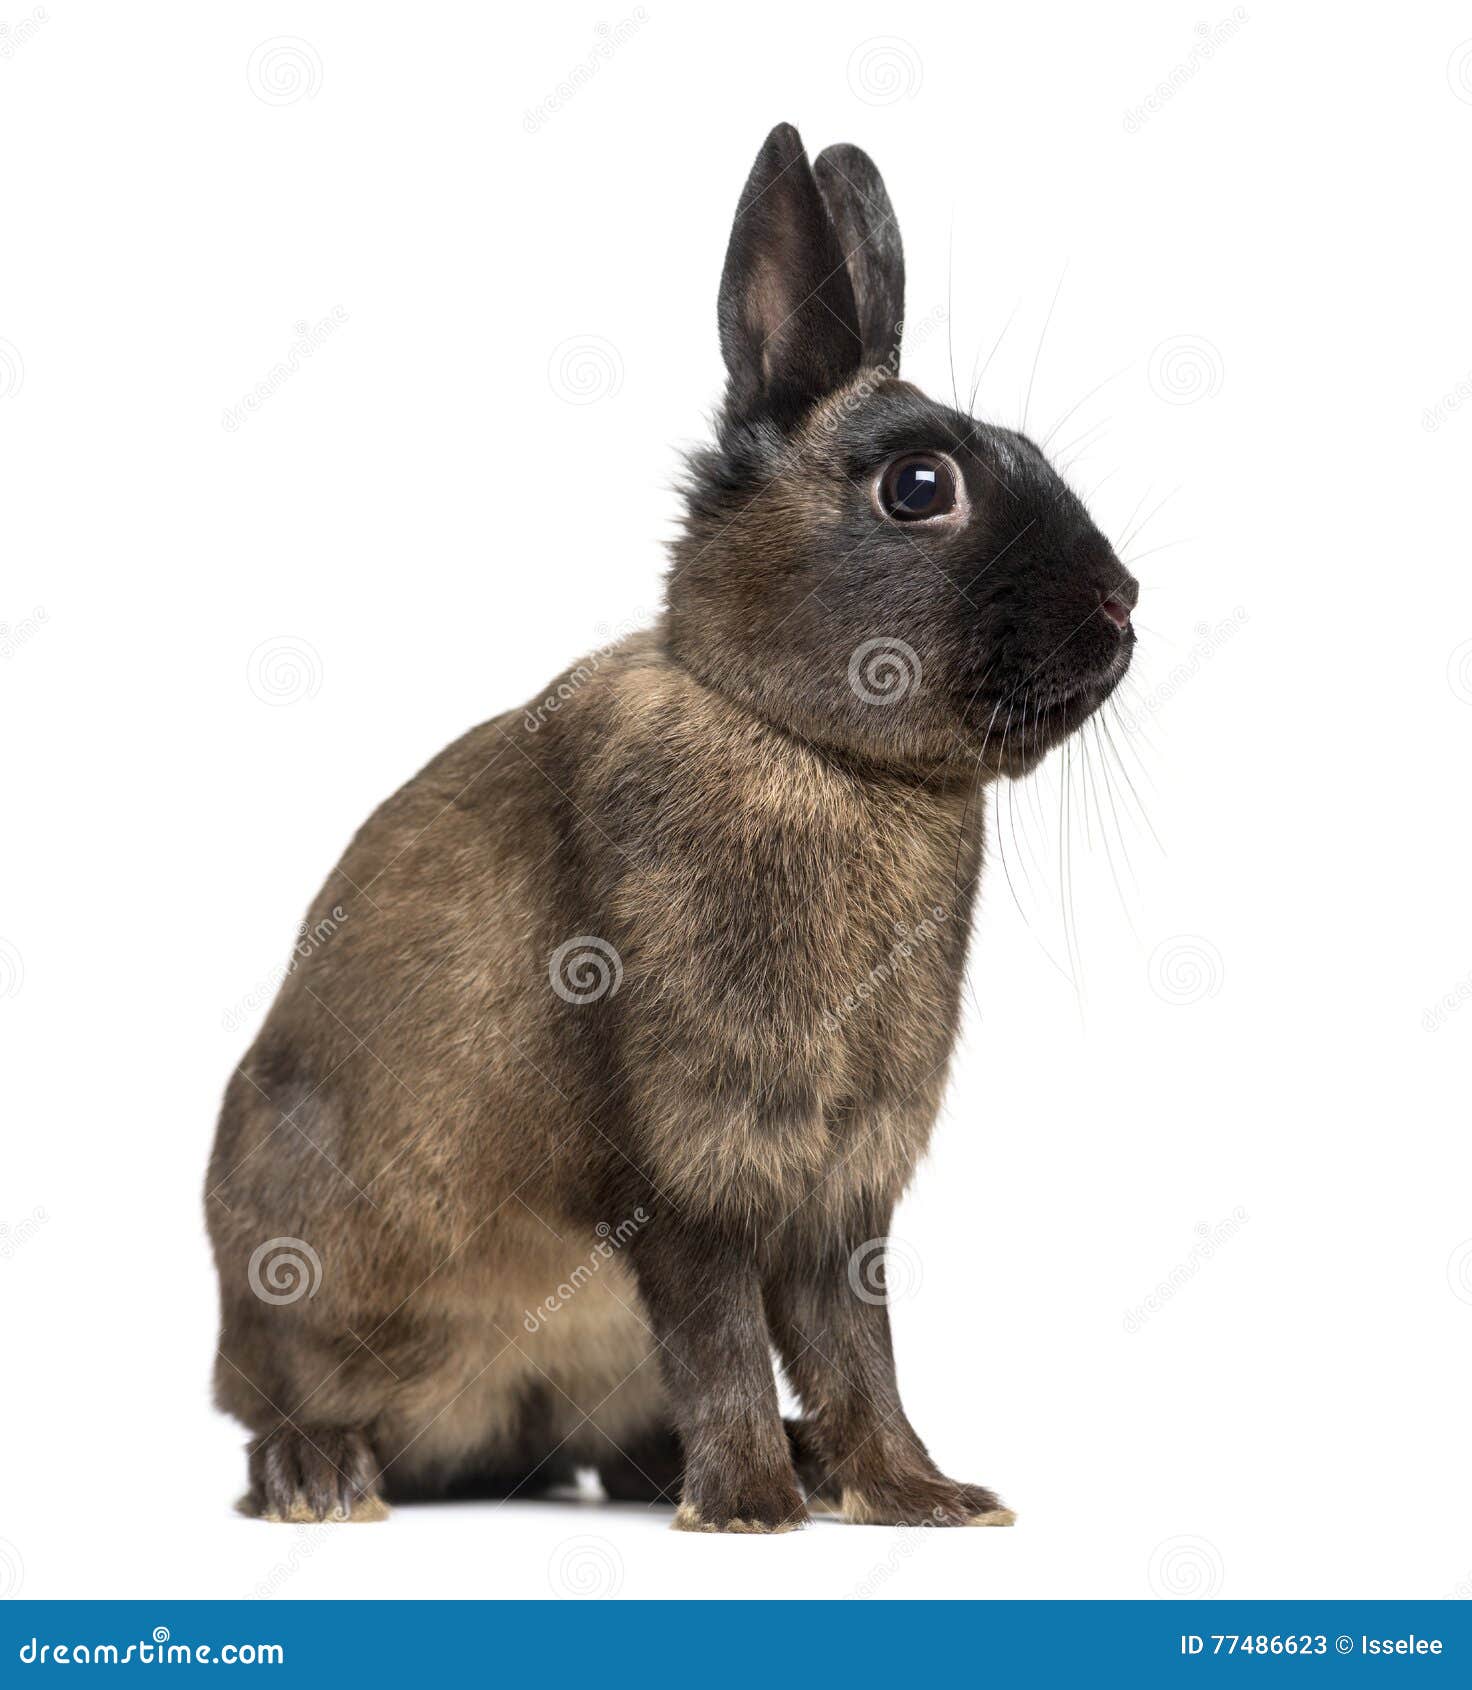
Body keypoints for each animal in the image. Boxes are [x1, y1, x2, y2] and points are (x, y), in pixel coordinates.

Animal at [206, 122, 1138, 1533]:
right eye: (919, 486)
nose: (1120, 602)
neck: (806, 744)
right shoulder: (687, 1164)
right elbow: (720, 1332)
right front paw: (751, 1508)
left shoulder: (837, 1193)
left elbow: (854, 1346)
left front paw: (915, 1494)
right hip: (291, 1274)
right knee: (271, 1398)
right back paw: (320, 1476)